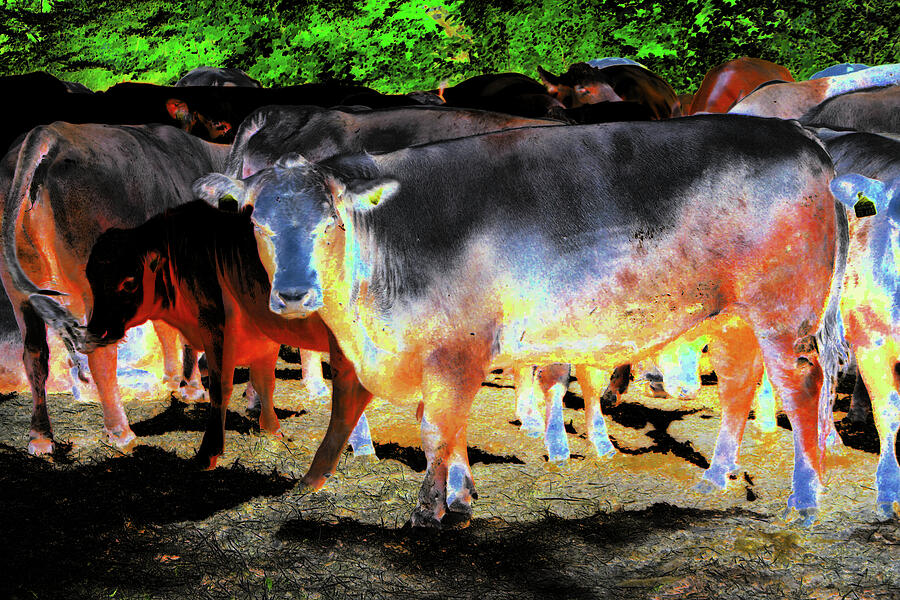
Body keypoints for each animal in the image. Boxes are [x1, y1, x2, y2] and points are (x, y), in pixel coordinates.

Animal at [0, 122, 228, 455]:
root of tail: (51, 132)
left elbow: (165, 327)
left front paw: (174, 379)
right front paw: (192, 386)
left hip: (18, 289)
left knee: (34, 355)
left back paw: (41, 437)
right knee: (101, 352)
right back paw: (121, 431)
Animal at [77, 200, 376, 469]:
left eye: (129, 282)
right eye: (91, 279)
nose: (96, 331)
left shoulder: (215, 327)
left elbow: (221, 388)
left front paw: (209, 452)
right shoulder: (264, 334)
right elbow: (265, 382)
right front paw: (272, 430)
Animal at [195, 115, 848, 528]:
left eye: (329, 224)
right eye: (258, 223)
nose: (294, 294)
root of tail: (801, 136)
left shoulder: (456, 349)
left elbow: (438, 429)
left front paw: (428, 510)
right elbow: (452, 430)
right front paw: (460, 501)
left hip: (784, 315)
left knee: (801, 389)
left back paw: (806, 500)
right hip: (732, 319)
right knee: (739, 386)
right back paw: (716, 476)